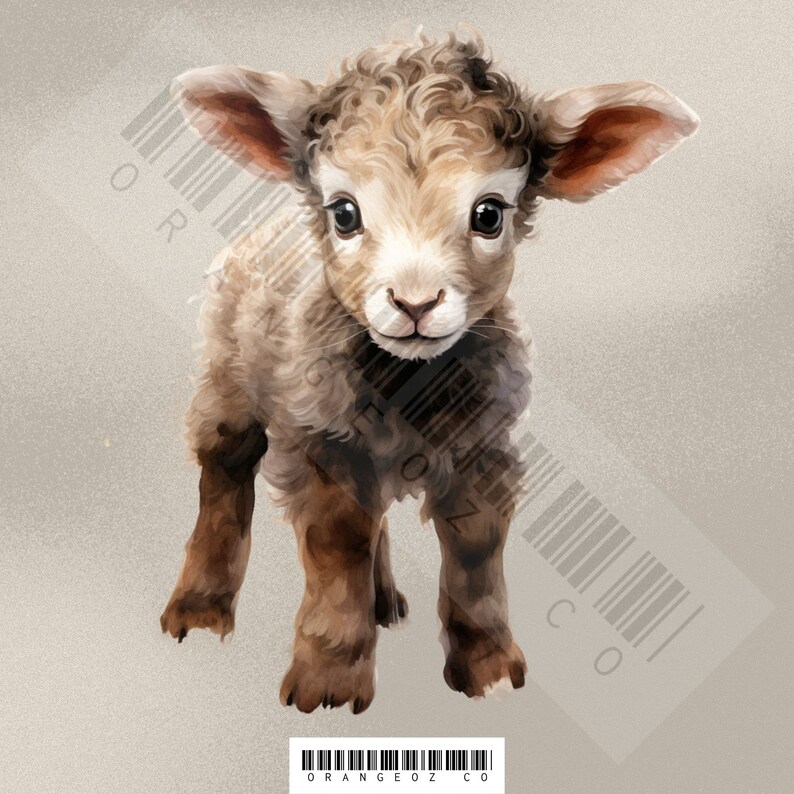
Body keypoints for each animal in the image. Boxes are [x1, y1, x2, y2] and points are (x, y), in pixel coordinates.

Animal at [159, 29, 698, 714]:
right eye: (344, 213)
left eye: (490, 214)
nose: (415, 303)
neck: (409, 385)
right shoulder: (322, 445)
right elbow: (337, 549)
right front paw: (330, 678)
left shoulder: (482, 451)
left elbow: (474, 552)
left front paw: (487, 664)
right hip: (225, 380)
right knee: (223, 478)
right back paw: (200, 609)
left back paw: (384, 599)